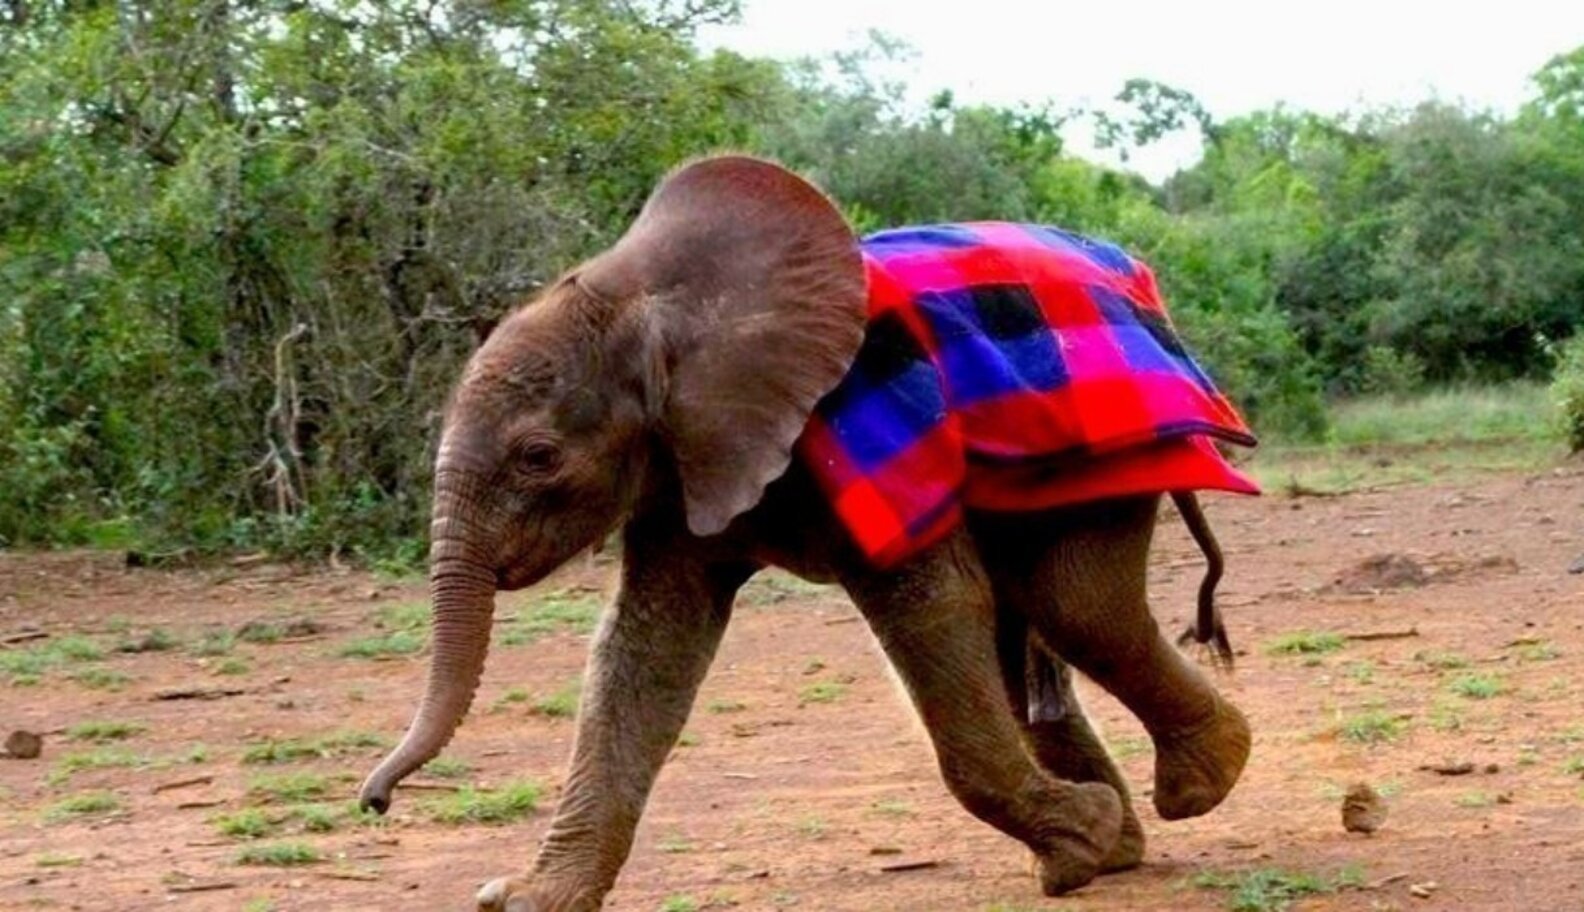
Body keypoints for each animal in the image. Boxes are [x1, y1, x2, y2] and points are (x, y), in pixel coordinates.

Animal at [358, 155, 1252, 911]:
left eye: (538, 457)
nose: (376, 802)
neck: (651, 303)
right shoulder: (684, 458)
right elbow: (645, 649)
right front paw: (527, 901)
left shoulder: (873, 430)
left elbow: (931, 608)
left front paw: (1079, 841)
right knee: (1033, 622)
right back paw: (1119, 853)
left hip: (1104, 454)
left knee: (1072, 604)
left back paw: (1196, 788)